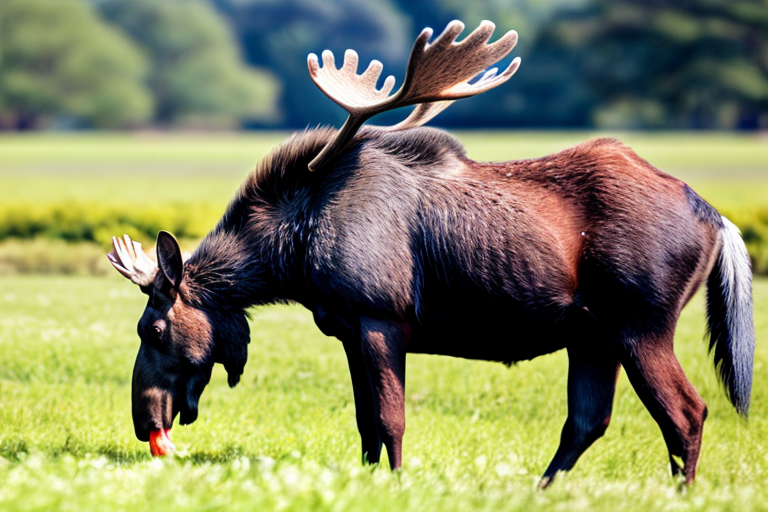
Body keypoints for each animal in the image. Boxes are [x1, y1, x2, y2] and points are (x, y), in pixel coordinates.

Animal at [107, 20, 754, 487]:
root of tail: (718, 219)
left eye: (154, 329)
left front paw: (397, 484)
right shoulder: (345, 327)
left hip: (641, 322)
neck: (293, 255)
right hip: (592, 333)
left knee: (687, 412)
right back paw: (538, 490)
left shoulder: (382, 315)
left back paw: (680, 493)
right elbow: (365, 421)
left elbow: (390, 418)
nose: (143, 423)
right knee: (587, 421)